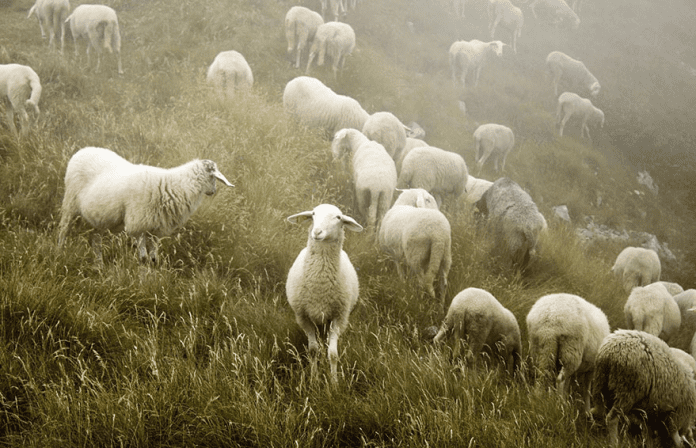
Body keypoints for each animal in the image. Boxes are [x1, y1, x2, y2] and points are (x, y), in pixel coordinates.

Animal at [57, 147, 233, 265]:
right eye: (214, 177)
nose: (213, 191)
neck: (174, 186)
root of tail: (82, 150)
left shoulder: (155, 228)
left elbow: (154, 259)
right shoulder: (138, 225)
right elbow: (143, 258)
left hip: (98, 217)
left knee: (95, 240)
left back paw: (99, 265)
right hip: (70, 202)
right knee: (63, 230)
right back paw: (58, 253)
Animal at [286, 204, 363, 383]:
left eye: (338, 217)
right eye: (313, 214)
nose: (317, 231)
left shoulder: (339, 317)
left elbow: (333, 354)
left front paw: (334, 382)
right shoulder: (304, 317)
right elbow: (313, 350)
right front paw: (314, 379)